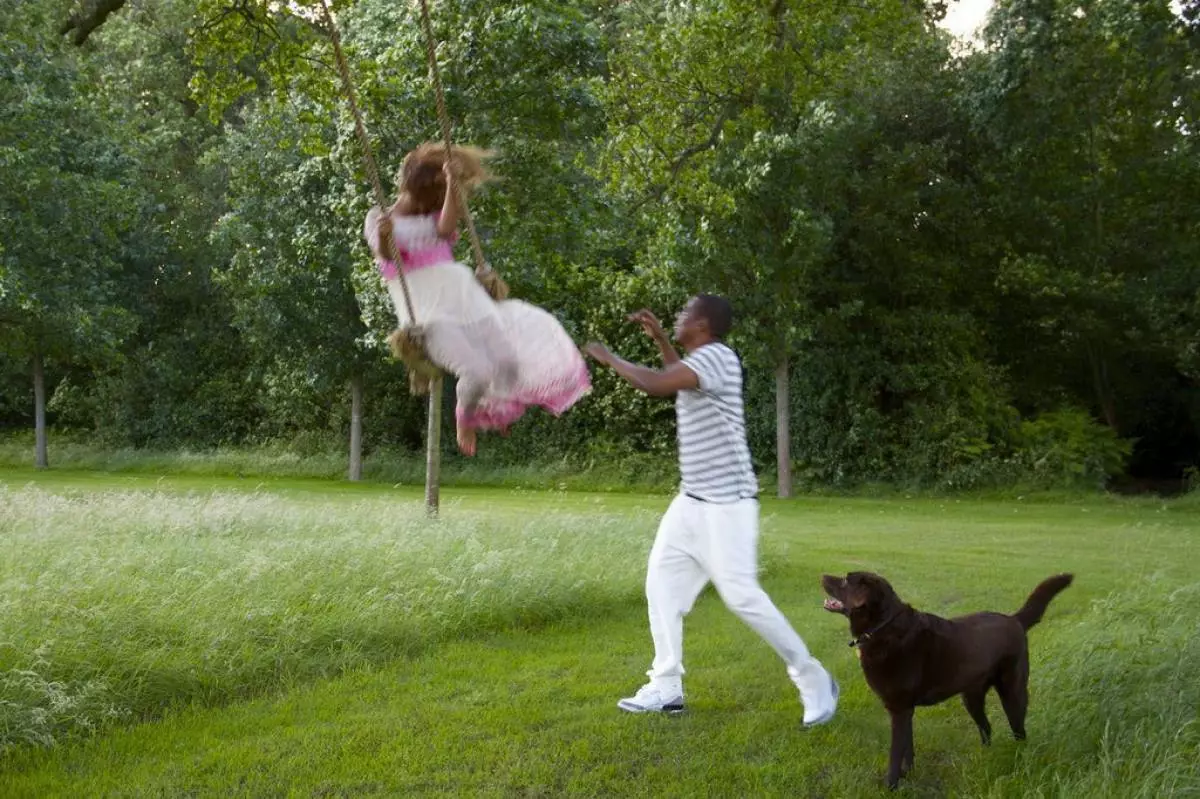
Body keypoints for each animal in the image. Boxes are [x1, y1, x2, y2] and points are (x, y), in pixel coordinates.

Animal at [820, 568, 1075, 787]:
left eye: (845, 580)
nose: (822, 575)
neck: (882, 627)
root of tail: (1015, 620)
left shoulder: (899, 709)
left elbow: (895, 753)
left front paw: (891, 786)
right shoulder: (906, 710)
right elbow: (907, 748)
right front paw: (908, 774)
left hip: (1013, 692)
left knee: (1019, 731)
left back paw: (1017, 758)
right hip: (971, 697)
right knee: (987, 727)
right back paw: (984, 758)